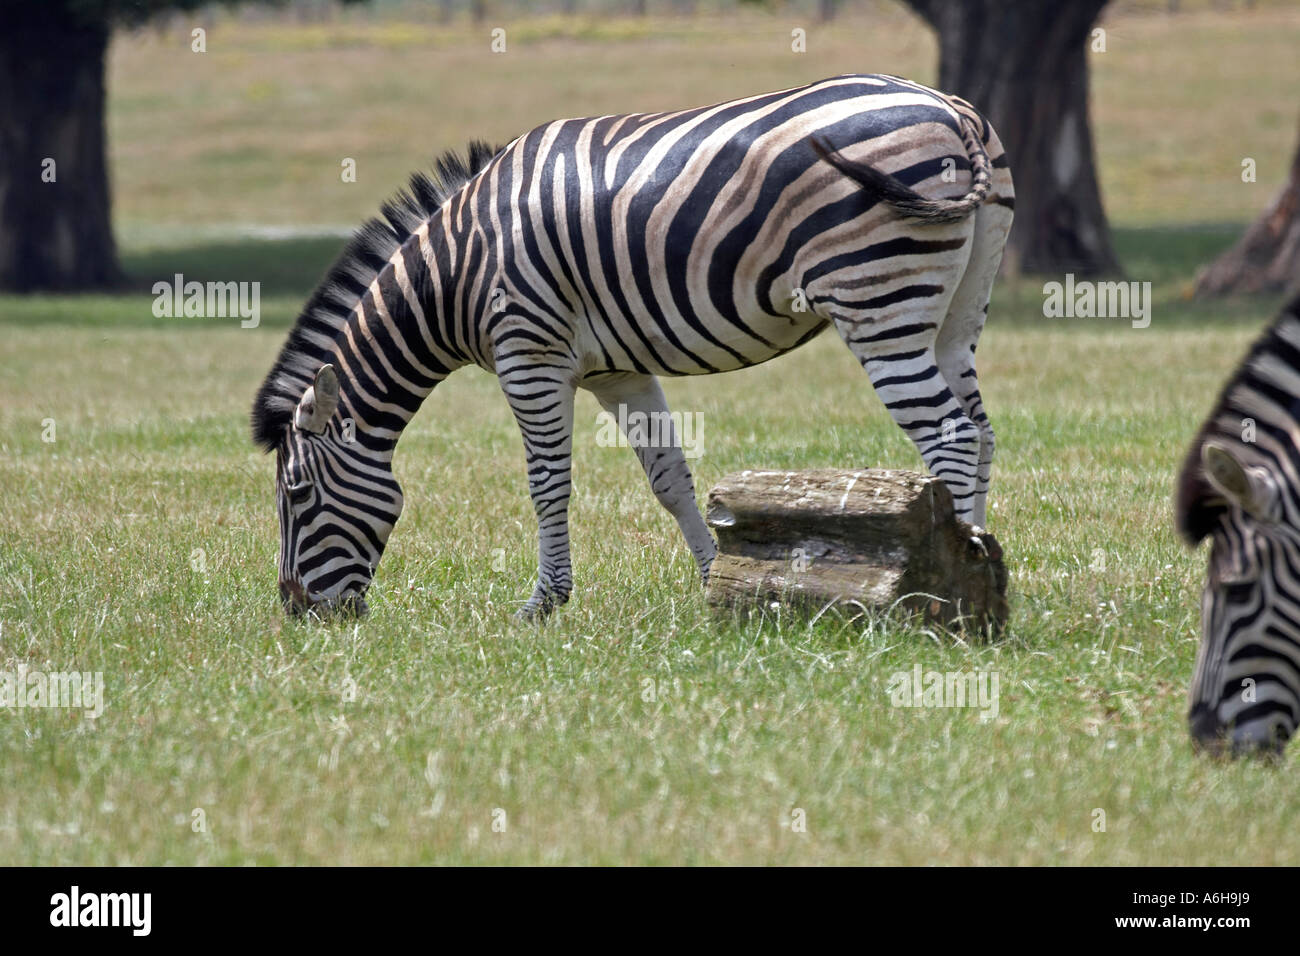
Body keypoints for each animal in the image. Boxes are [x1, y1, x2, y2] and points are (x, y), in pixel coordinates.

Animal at [251, 74, 1015, 619]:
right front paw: (713, 586)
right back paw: (983, 578)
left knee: (949, 436)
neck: (458, 269)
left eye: (296, 493)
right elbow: (669, 477)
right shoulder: (617, 371)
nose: (298, 614)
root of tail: (952, 108)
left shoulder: (529, 355)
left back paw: (949, 587)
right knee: (980, 431)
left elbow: (547, 482)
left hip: (879, 298)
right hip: (955, 313)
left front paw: (543, 605)